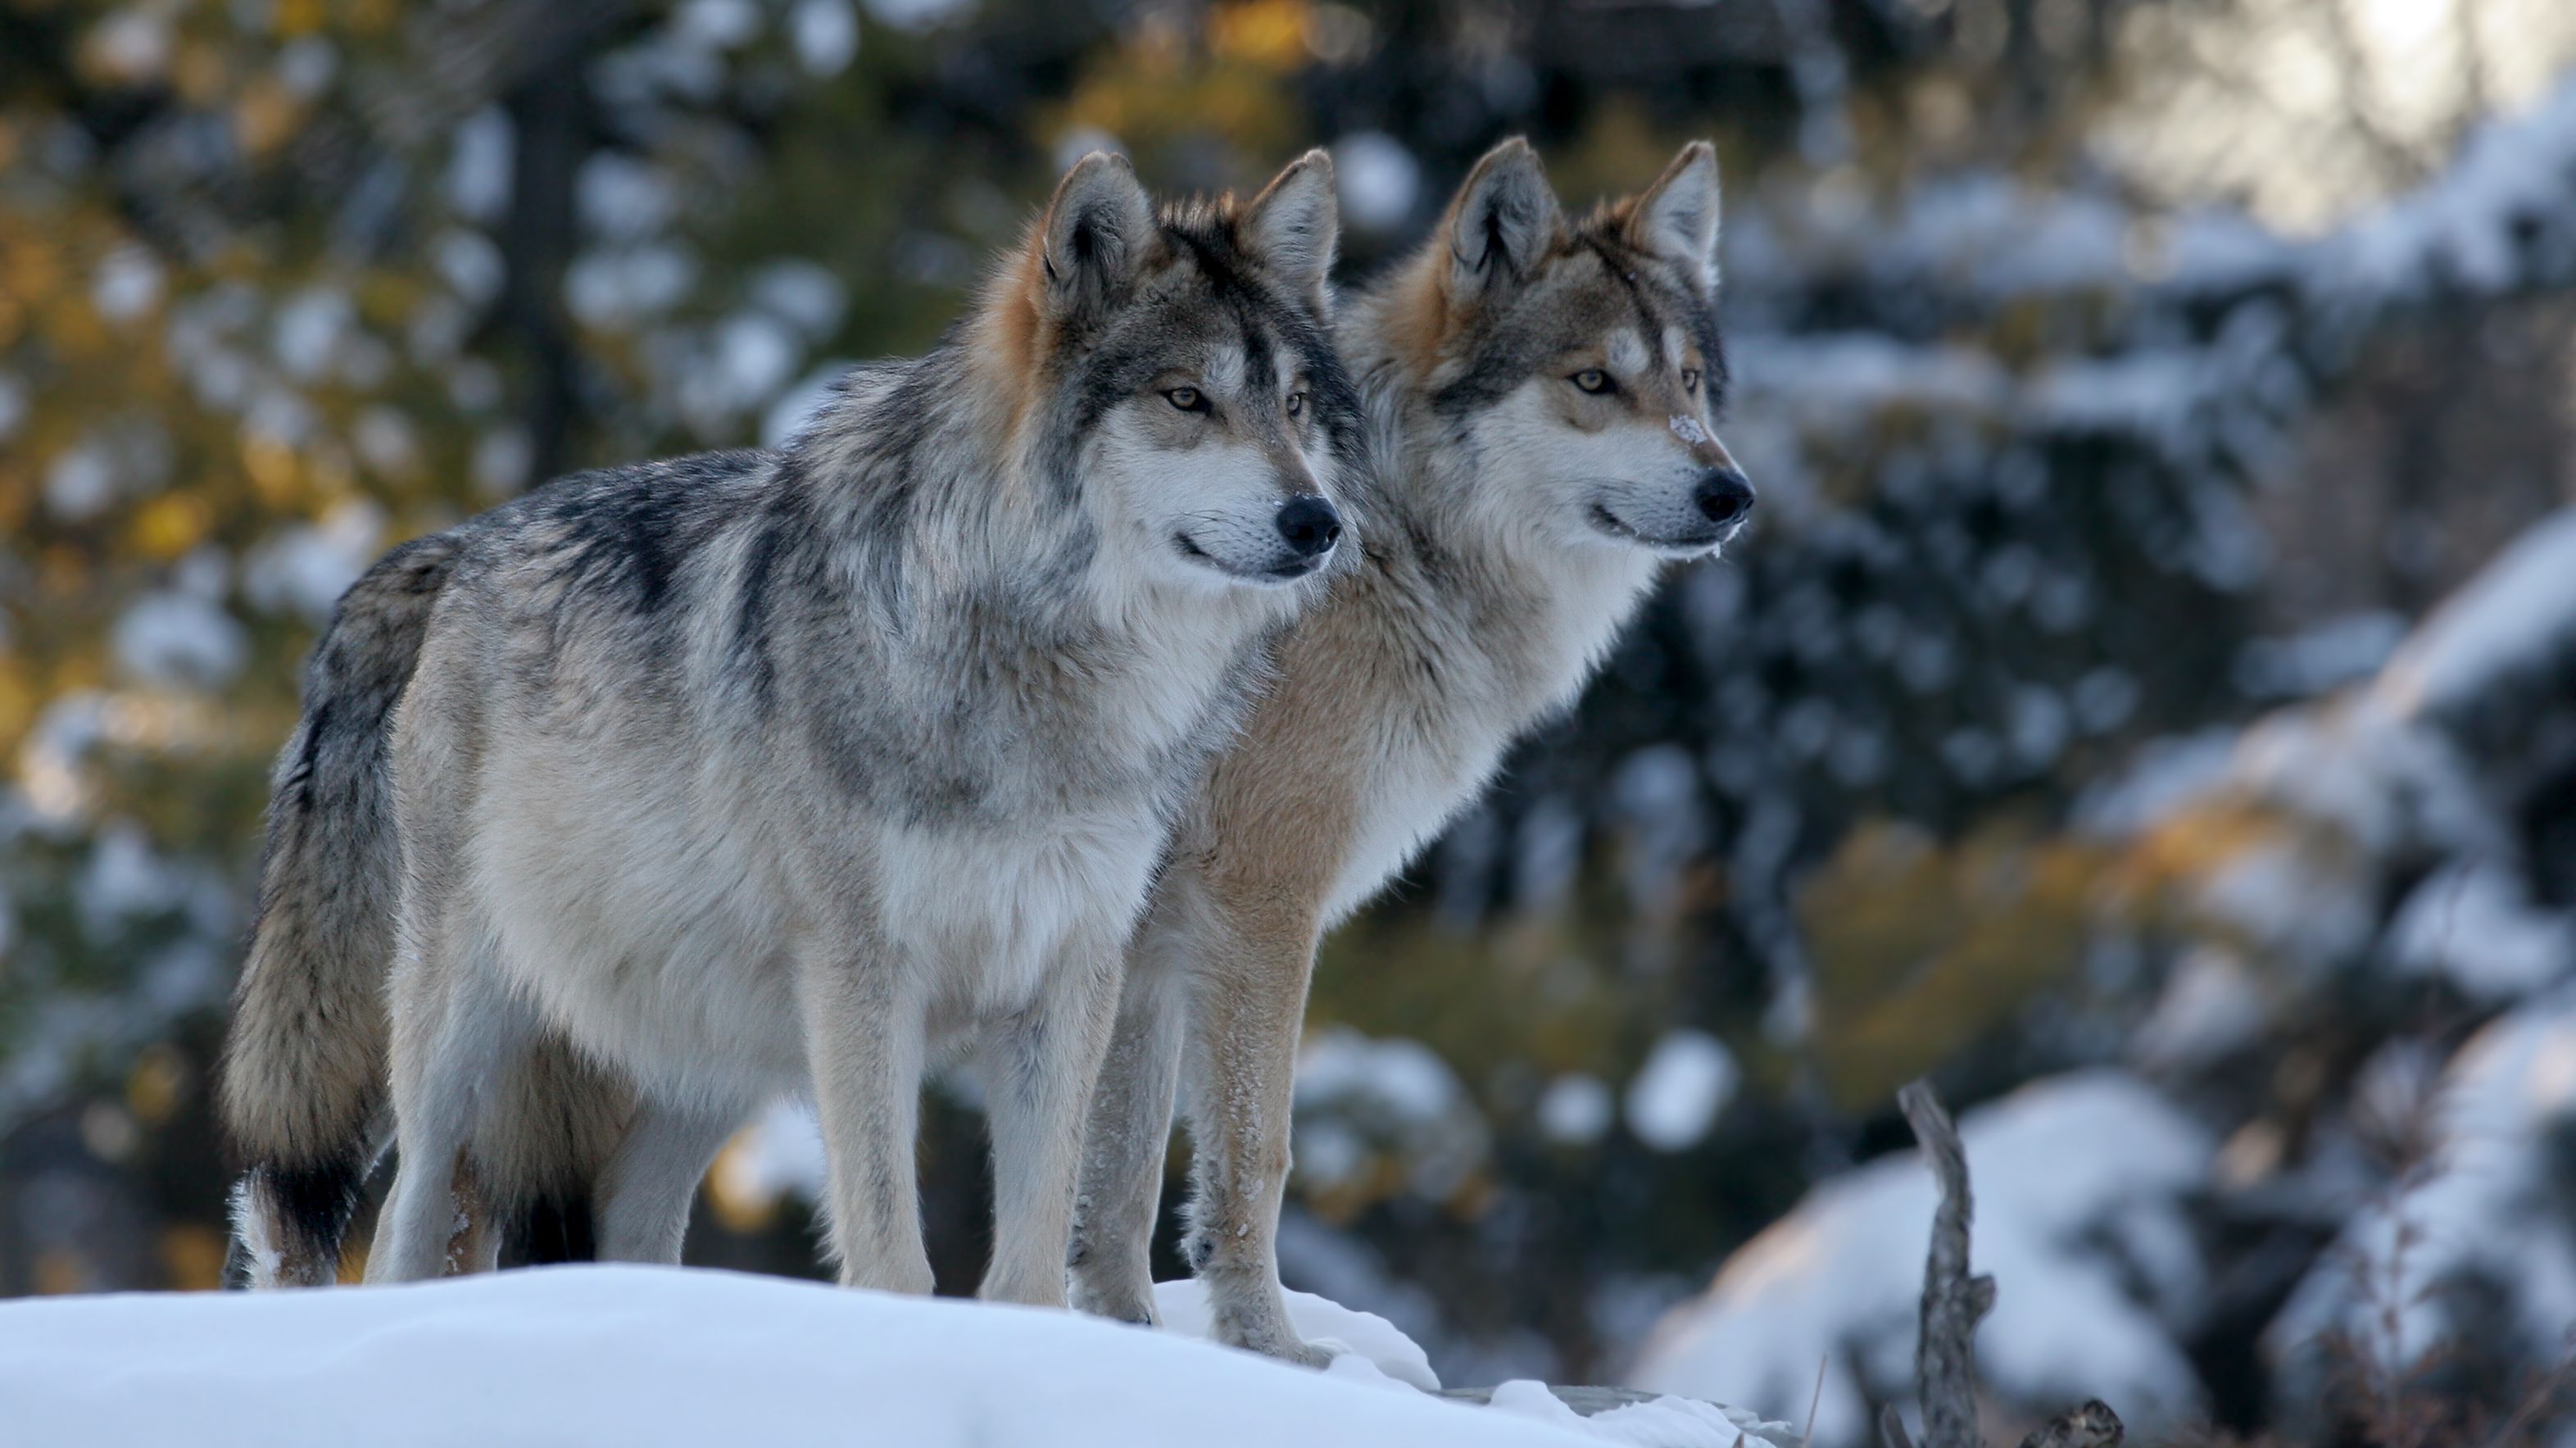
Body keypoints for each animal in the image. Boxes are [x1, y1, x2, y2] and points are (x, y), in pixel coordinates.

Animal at [218, 149, 1361, 1303]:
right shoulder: (865, 978)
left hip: (708, 1058)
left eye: (1295, 405)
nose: (1319, 523)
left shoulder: (1069, 976)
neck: (1041, 670)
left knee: (626, 1224)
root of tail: (456, 546)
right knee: (406, 1221)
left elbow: (1032, 1266)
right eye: (1187, 398)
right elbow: (893, 1255)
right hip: (468, 1021)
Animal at [1062, 139, 1751, 1362]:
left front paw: (1130, 1339)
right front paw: (1273, 1351)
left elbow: (1119, 1181)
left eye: (1689, 384)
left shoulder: (1147, 935)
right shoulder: (1259, 901)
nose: (1732, 492)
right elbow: (1257, 1153)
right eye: (1593, 382)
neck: (1400, 546)